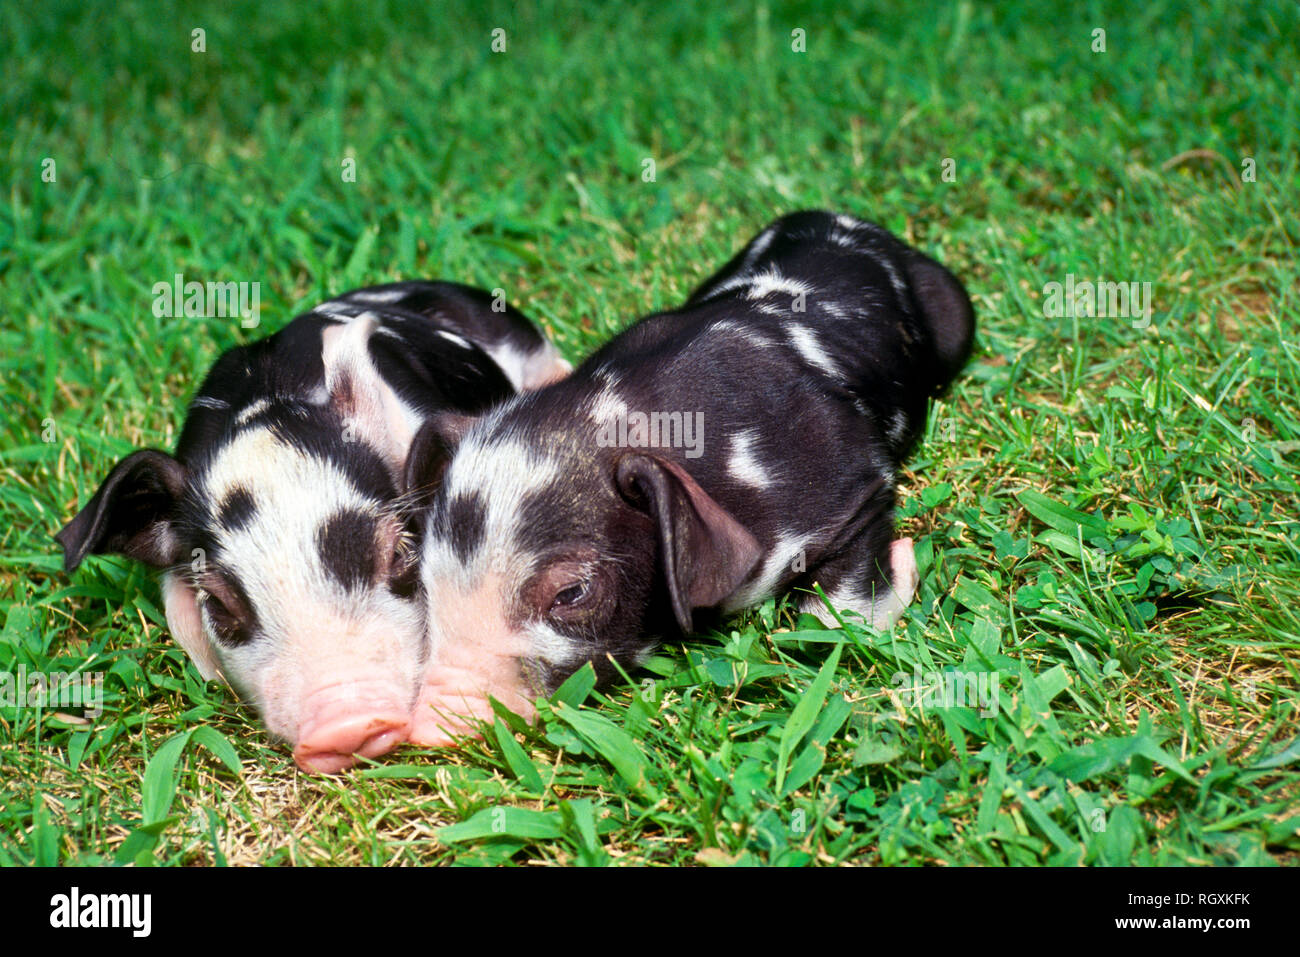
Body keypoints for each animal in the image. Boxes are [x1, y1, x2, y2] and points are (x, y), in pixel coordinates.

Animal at [402, 212, 974, 746]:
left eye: (571, 593)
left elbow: (835, 614)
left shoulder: (859, 485)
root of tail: (845, 218)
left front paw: (901, 565)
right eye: (426, 576)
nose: (430, 724)